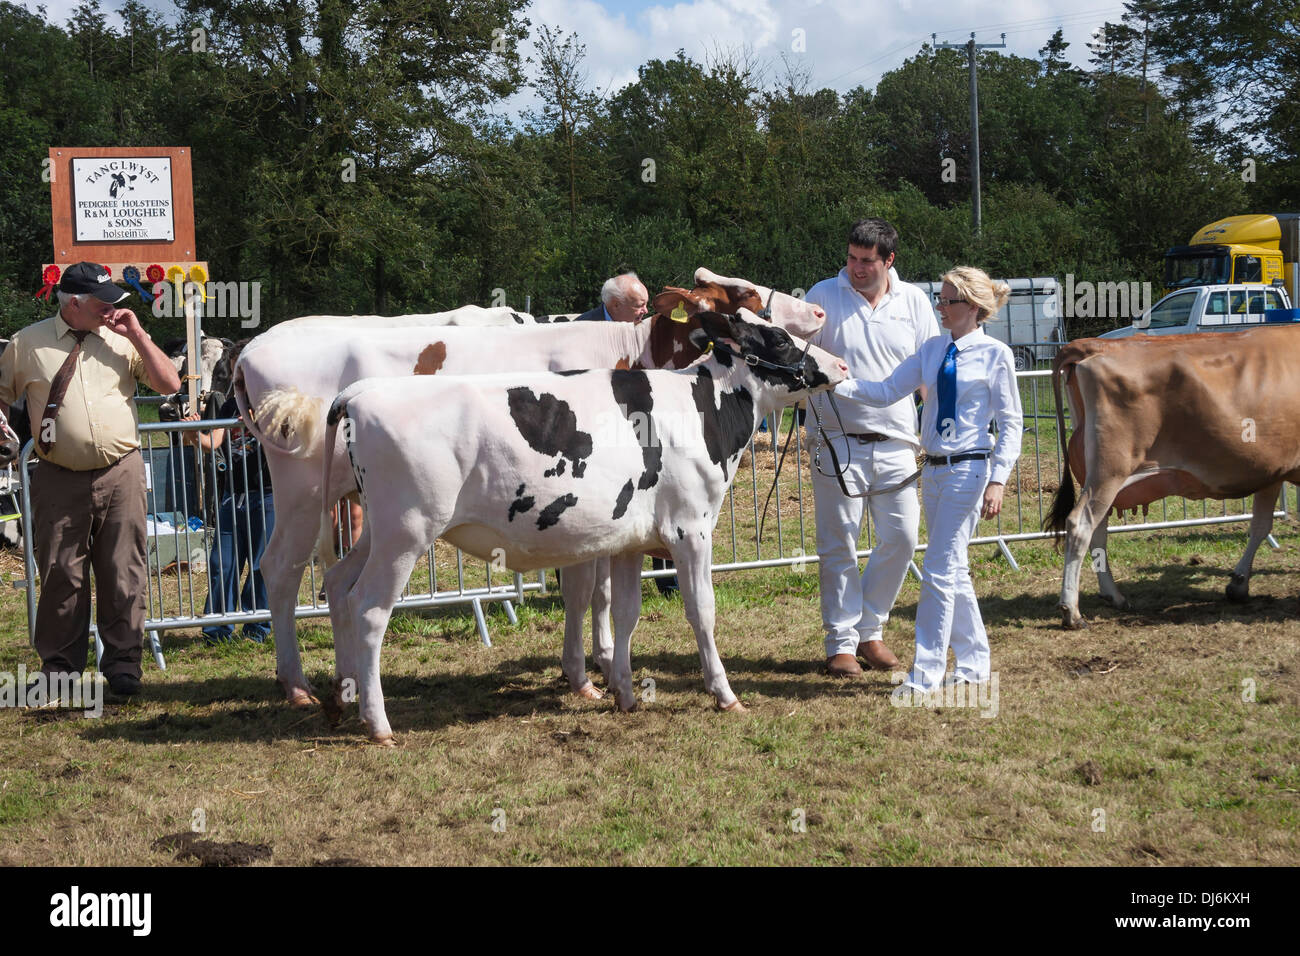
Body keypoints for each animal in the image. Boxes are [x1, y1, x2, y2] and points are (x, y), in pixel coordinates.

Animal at [234, 278, 826, 706]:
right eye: (748, 298)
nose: (819, 316)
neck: (634, 354)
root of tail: (250, 349)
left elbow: (594, 593)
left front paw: (594, 670)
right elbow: (593, 592)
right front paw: (594, 671)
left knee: (333, 582)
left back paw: (345, 682)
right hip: (306, 493)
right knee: (282, 571)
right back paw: (299, 685)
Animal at [1046, 327, 1300, 628]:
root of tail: (1094, 345)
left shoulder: (1271, 472)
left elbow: (1260, 526)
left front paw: (1239, 584)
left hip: (1097, 474)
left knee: (1098, 531)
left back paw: (1113, 595)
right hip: (1110, 470)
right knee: (1080, 525)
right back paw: (1071, 611)